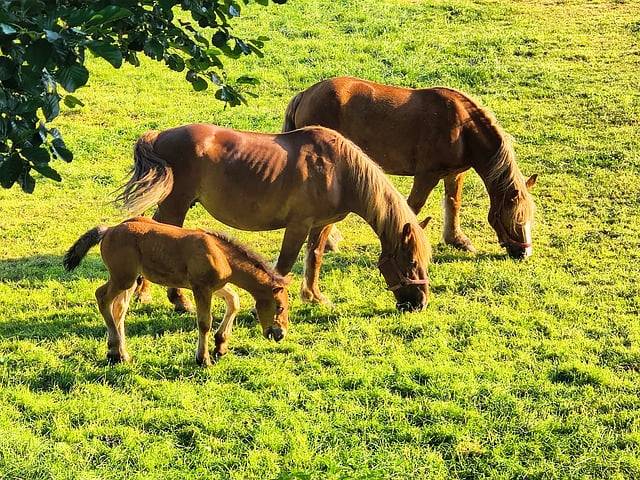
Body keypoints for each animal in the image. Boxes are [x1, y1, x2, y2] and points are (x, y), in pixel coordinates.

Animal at [63, 217, 291, 366]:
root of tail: (109, 230)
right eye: (279, 307)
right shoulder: (201, 288)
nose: (281, 334)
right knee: (102, 297)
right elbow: (205, 322)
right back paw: (114, 349)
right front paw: (203, 359)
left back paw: (121, 355)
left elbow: (234, 300)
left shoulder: (216, 286)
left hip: (130, 281)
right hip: (123, 278)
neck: (221, 254)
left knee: (119, 310)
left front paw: (221, 346)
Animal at [116, 124, 431, 312]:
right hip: (175, 207)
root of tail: (158, 136)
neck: (338, 170)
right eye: (411, 262)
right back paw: (175, 300)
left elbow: (314, 258)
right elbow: (285, 263)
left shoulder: (321, 225)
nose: (421, 302)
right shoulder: (298, 225)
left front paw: (314, 296)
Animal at [283, 76, 537, 259]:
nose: (524, 253)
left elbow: (453, 203)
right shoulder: (427, 175)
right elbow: (413, 206)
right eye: (515, 216)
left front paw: (457, 240)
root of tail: (305, 94)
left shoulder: (455, 174)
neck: (462, 127)